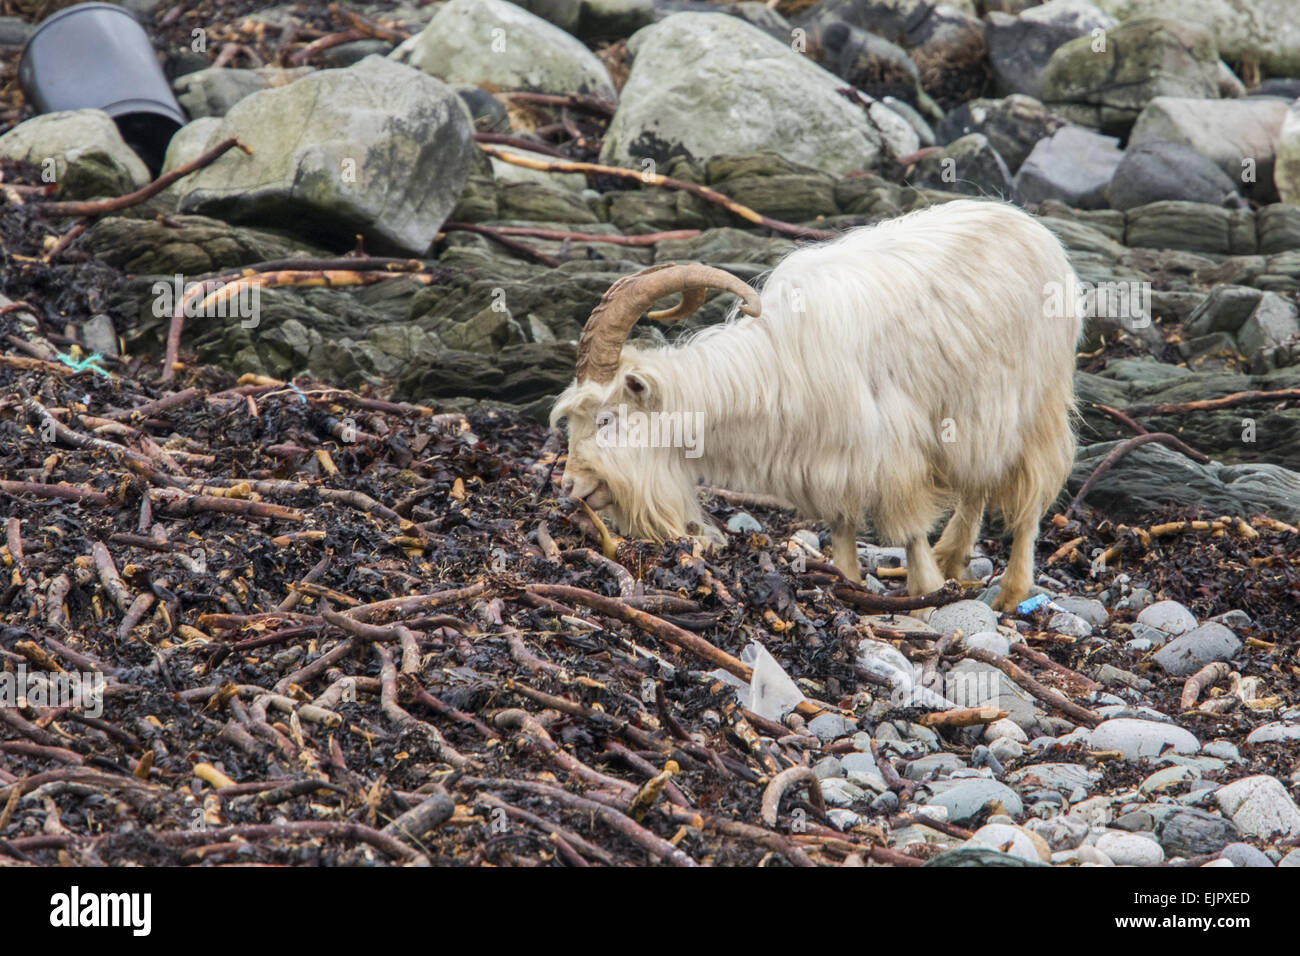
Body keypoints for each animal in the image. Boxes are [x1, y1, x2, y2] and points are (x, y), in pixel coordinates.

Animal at [550, 199, 1082, 612]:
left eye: (606, 418)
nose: (571, 486)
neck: (775, 365)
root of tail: (1031, 227)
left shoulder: (892, 454)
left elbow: (909, 531)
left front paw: (924, 597)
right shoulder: (831, 464)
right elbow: (842, 529)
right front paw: (847, 584)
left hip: (1038, 404)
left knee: (1031, 495)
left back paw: (1011, 593)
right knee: (978, 485)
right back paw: (954, 557)